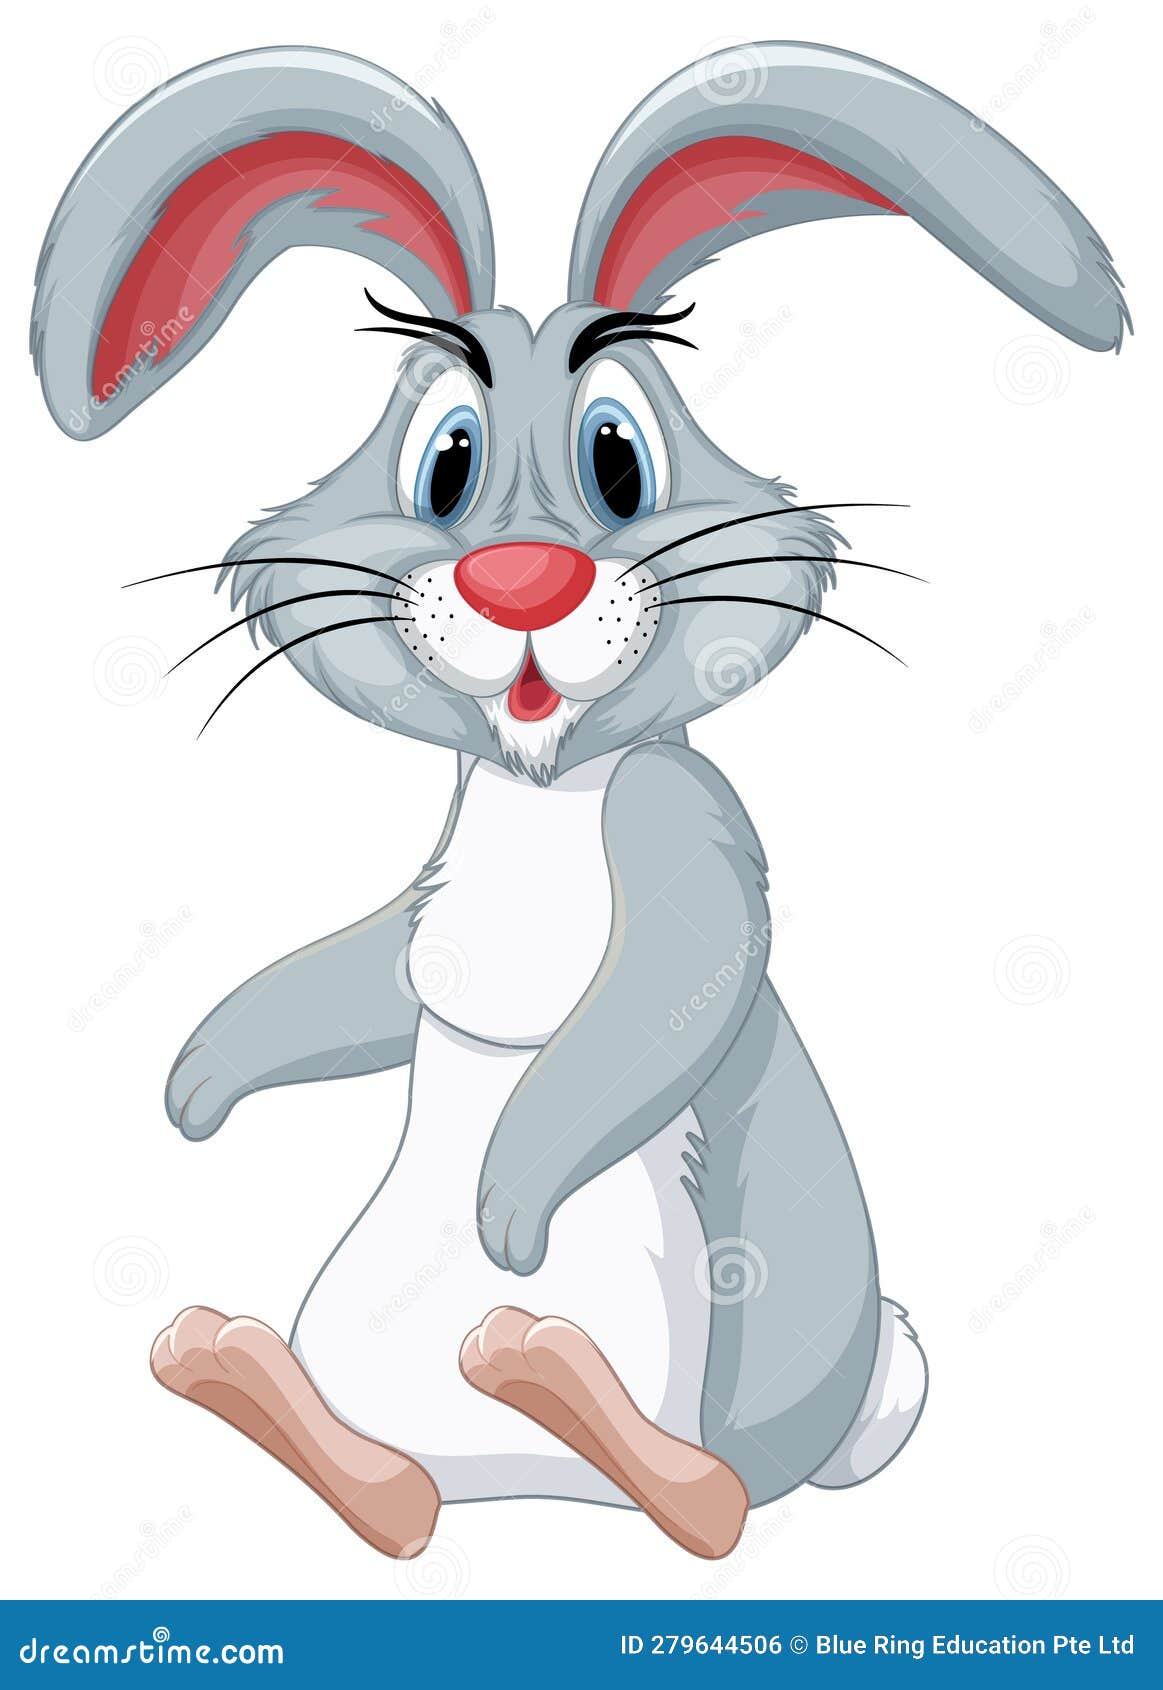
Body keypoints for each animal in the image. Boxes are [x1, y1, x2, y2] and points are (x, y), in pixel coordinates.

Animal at [32, 42, 1127, 1561]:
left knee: (702, 1503)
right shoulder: (426, 909)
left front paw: (509, 1203)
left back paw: (533, 1352)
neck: (542, 790)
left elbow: (652, 1013)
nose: (521, 582)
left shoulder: (683, 848)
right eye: (442, 460)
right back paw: (240, 1364)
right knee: (396, 1498)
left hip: (739, 1401)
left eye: (620, 456)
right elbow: (367, 974)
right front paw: (202, 1079)